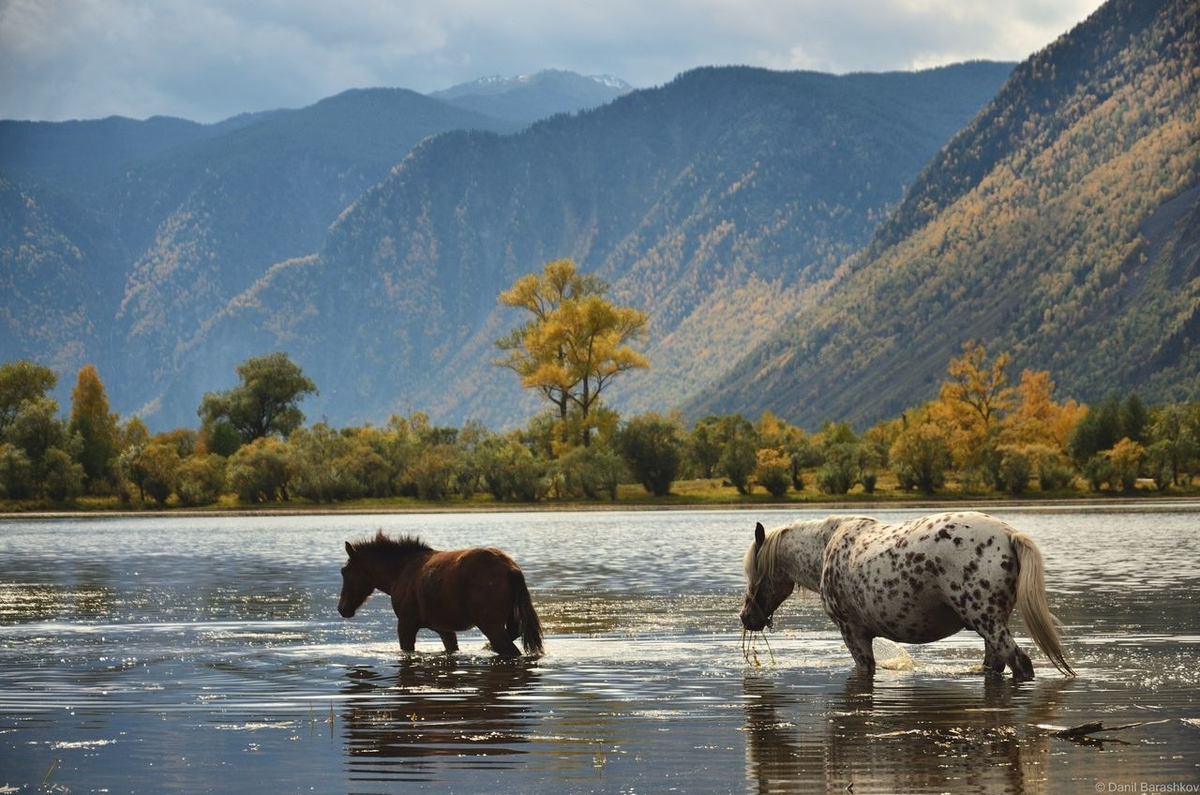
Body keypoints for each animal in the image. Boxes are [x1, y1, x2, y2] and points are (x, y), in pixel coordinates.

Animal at [338, 533, 544, 658]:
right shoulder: (444, 629)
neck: (399, 572)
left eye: (344, 571)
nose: (342, 609)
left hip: (491, 625)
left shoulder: (406, 623)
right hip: (508, 620)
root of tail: (511, 569)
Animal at [739, 513, 1080, 682]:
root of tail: (1009, 534)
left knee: (1021, 664)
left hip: (988, 623)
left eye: (754, 573)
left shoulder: (853, 634)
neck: (826, 547)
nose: (746, 617)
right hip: (991, 628)